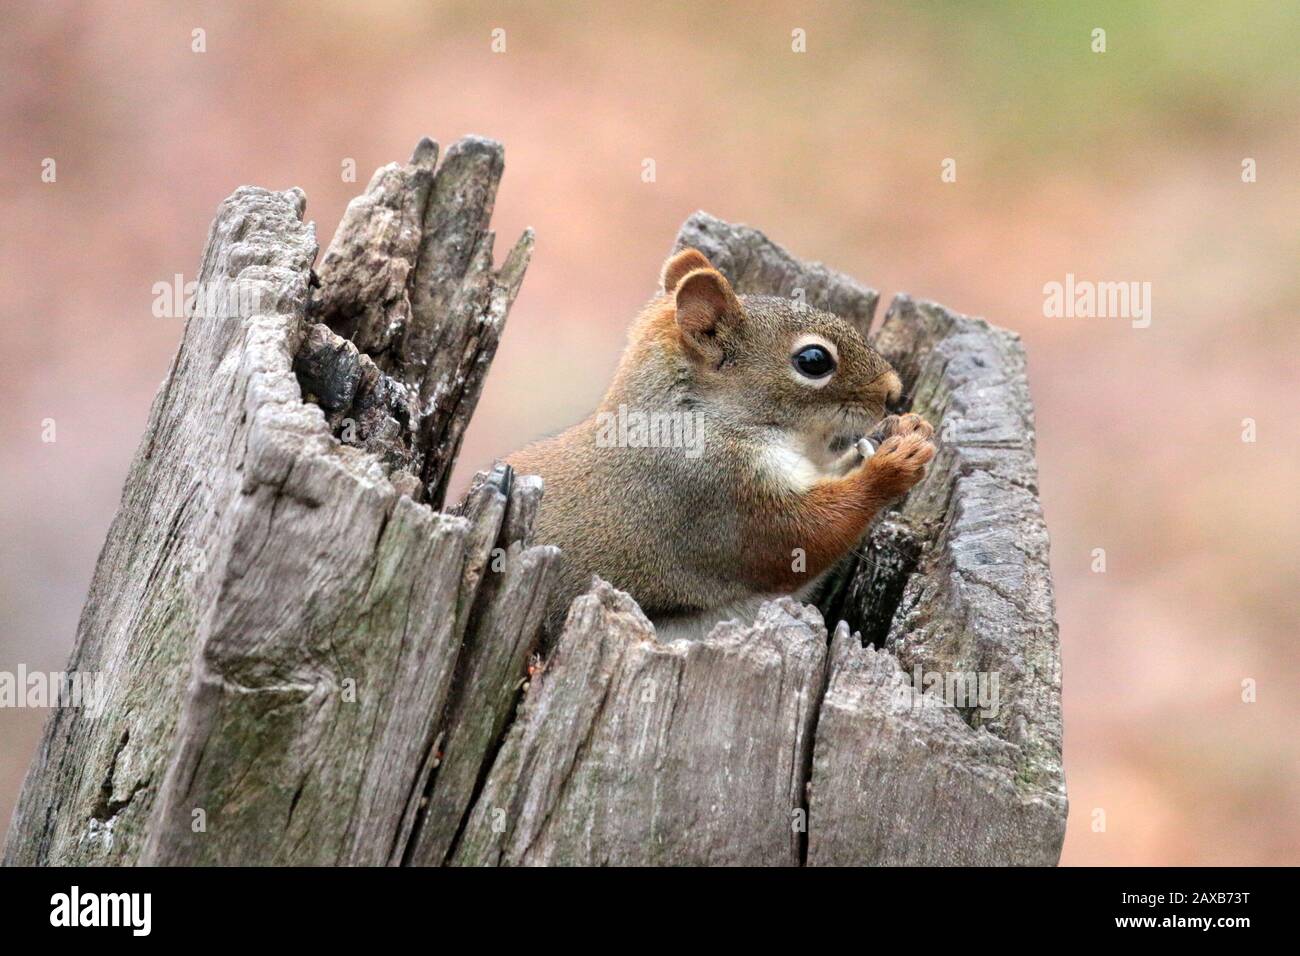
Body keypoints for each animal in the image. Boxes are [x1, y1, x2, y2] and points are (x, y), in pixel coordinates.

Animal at [506, 248, 936, 639]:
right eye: (814, 360)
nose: (894, 392)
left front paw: (904, 429)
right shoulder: (716, 494)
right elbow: (808, 536)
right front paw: (892, 465)